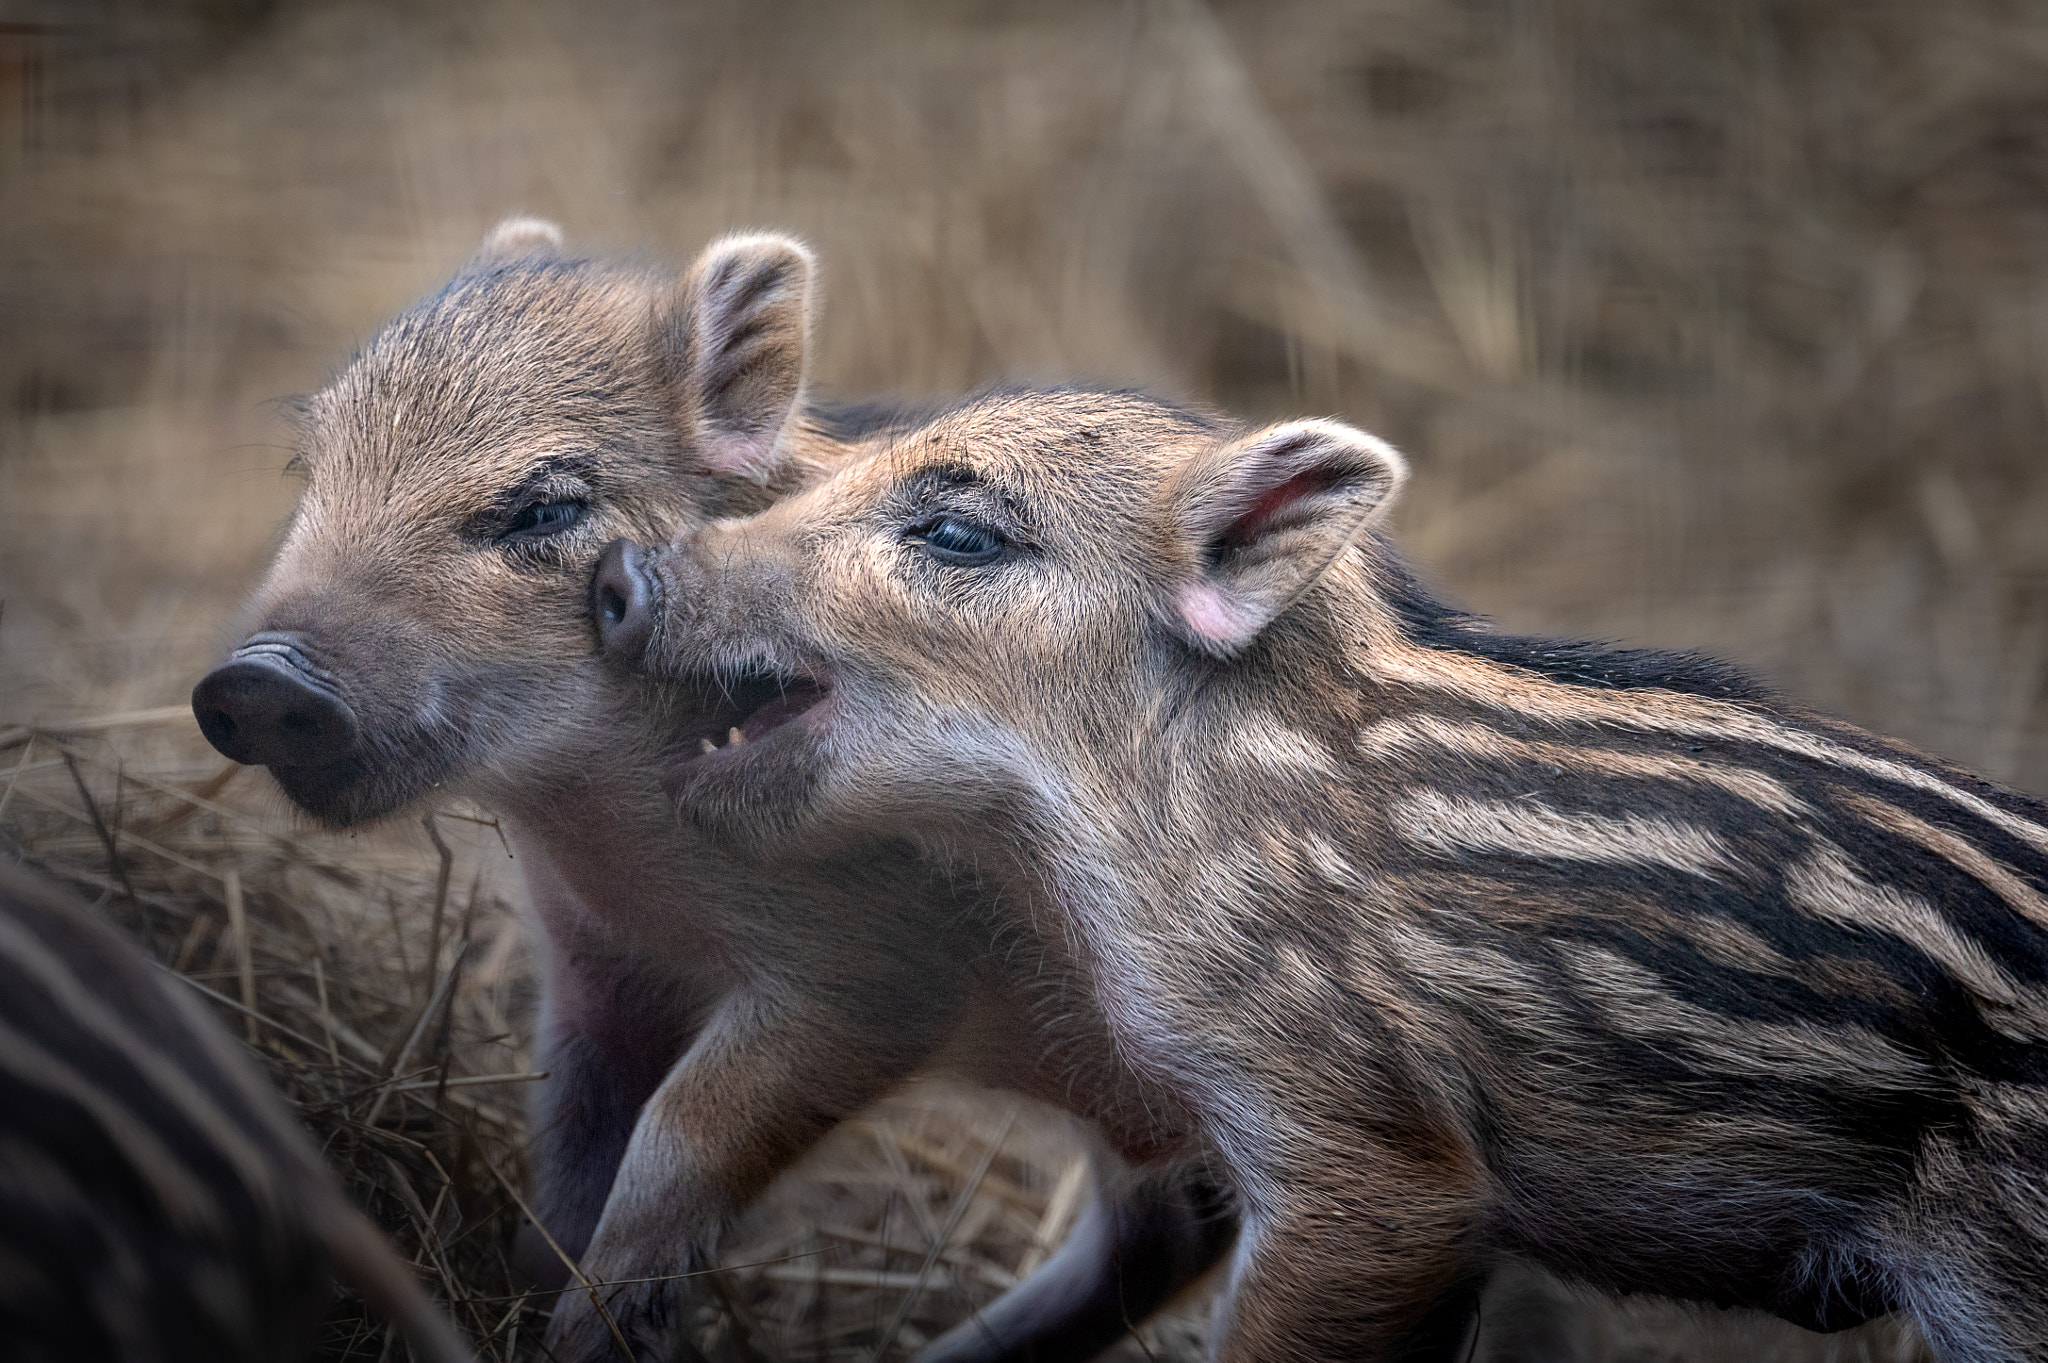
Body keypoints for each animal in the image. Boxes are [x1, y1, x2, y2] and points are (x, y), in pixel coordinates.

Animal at [190, 222, 1232, 1362]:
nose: (258, 680)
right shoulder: (597, 965)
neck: (613, 839)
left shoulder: (872, 977)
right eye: (312, 469)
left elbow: (674, 1146)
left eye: (543, 507)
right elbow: (572, 1153)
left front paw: (586, 1336)